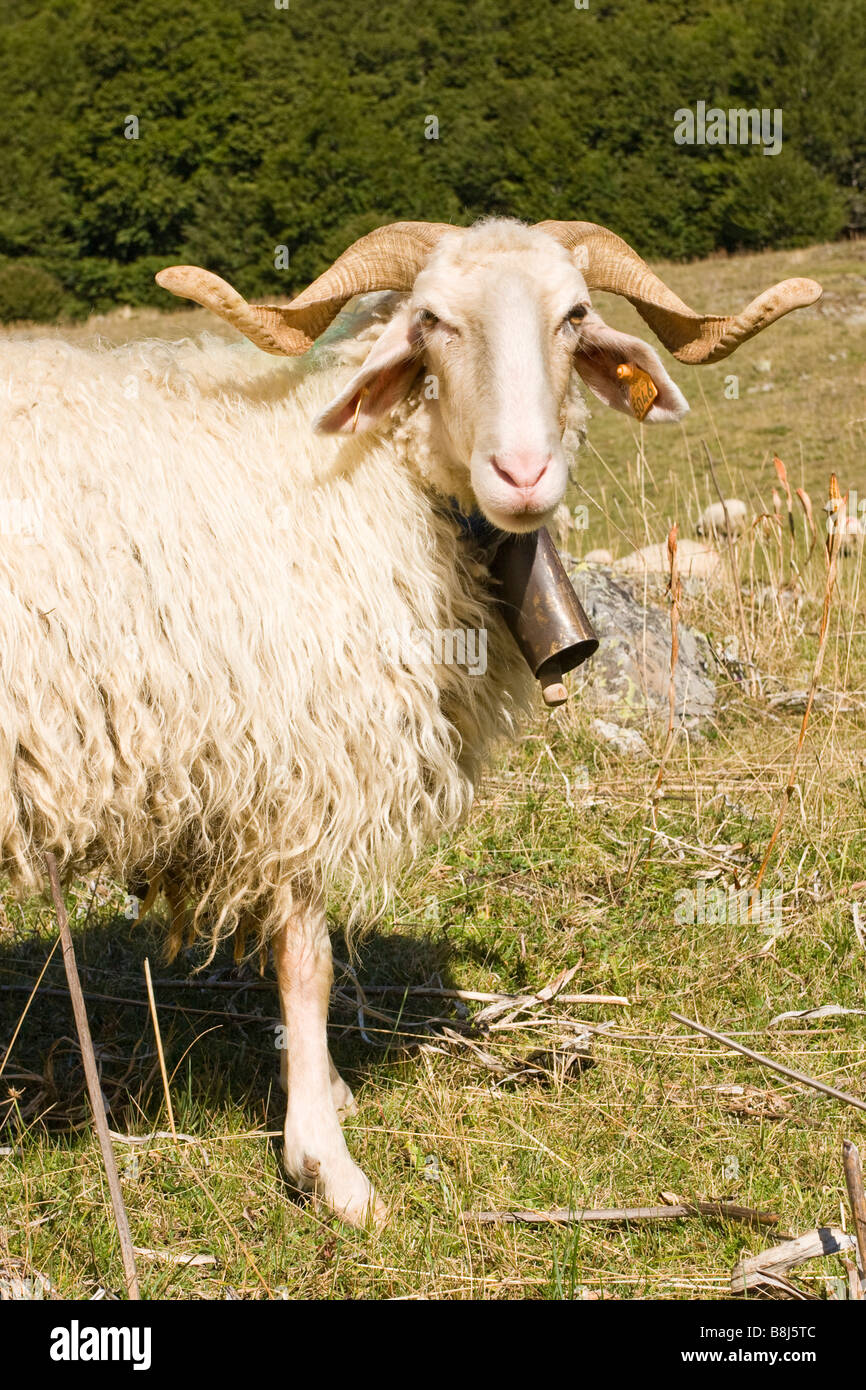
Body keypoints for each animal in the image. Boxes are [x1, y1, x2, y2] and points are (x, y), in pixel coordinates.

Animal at [0, 217, 820, 1225]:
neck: (359, 471)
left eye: (574, 315)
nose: (523, 473)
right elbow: (306, 963)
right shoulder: (303, 755)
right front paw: (325, 1160)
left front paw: (321, 1099)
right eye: (431, 322)